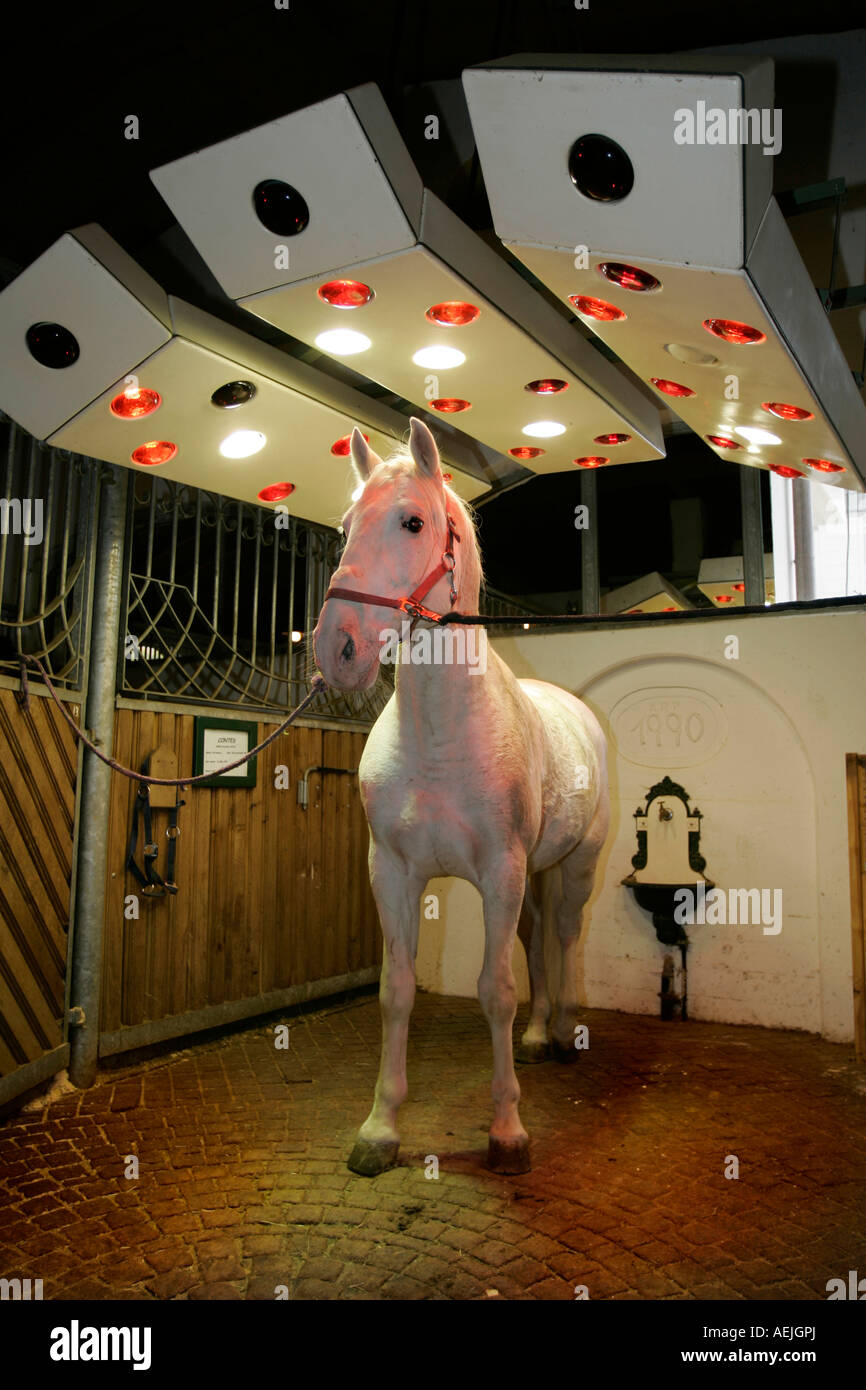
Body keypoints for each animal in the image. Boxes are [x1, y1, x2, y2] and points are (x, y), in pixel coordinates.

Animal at [313, 417, 609, 1176]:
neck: (441, 735)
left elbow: (495, 992)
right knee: (538, 942)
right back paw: (538, 1037)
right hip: (534, 875)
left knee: (567, 936)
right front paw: (380, 1128)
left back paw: (566, 1031)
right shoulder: (393, 873)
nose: (337, 650)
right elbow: (396, 992)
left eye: (413, 521)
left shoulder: (500, 873)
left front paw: (507, 1131)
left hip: (574, 867)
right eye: (346, 527)